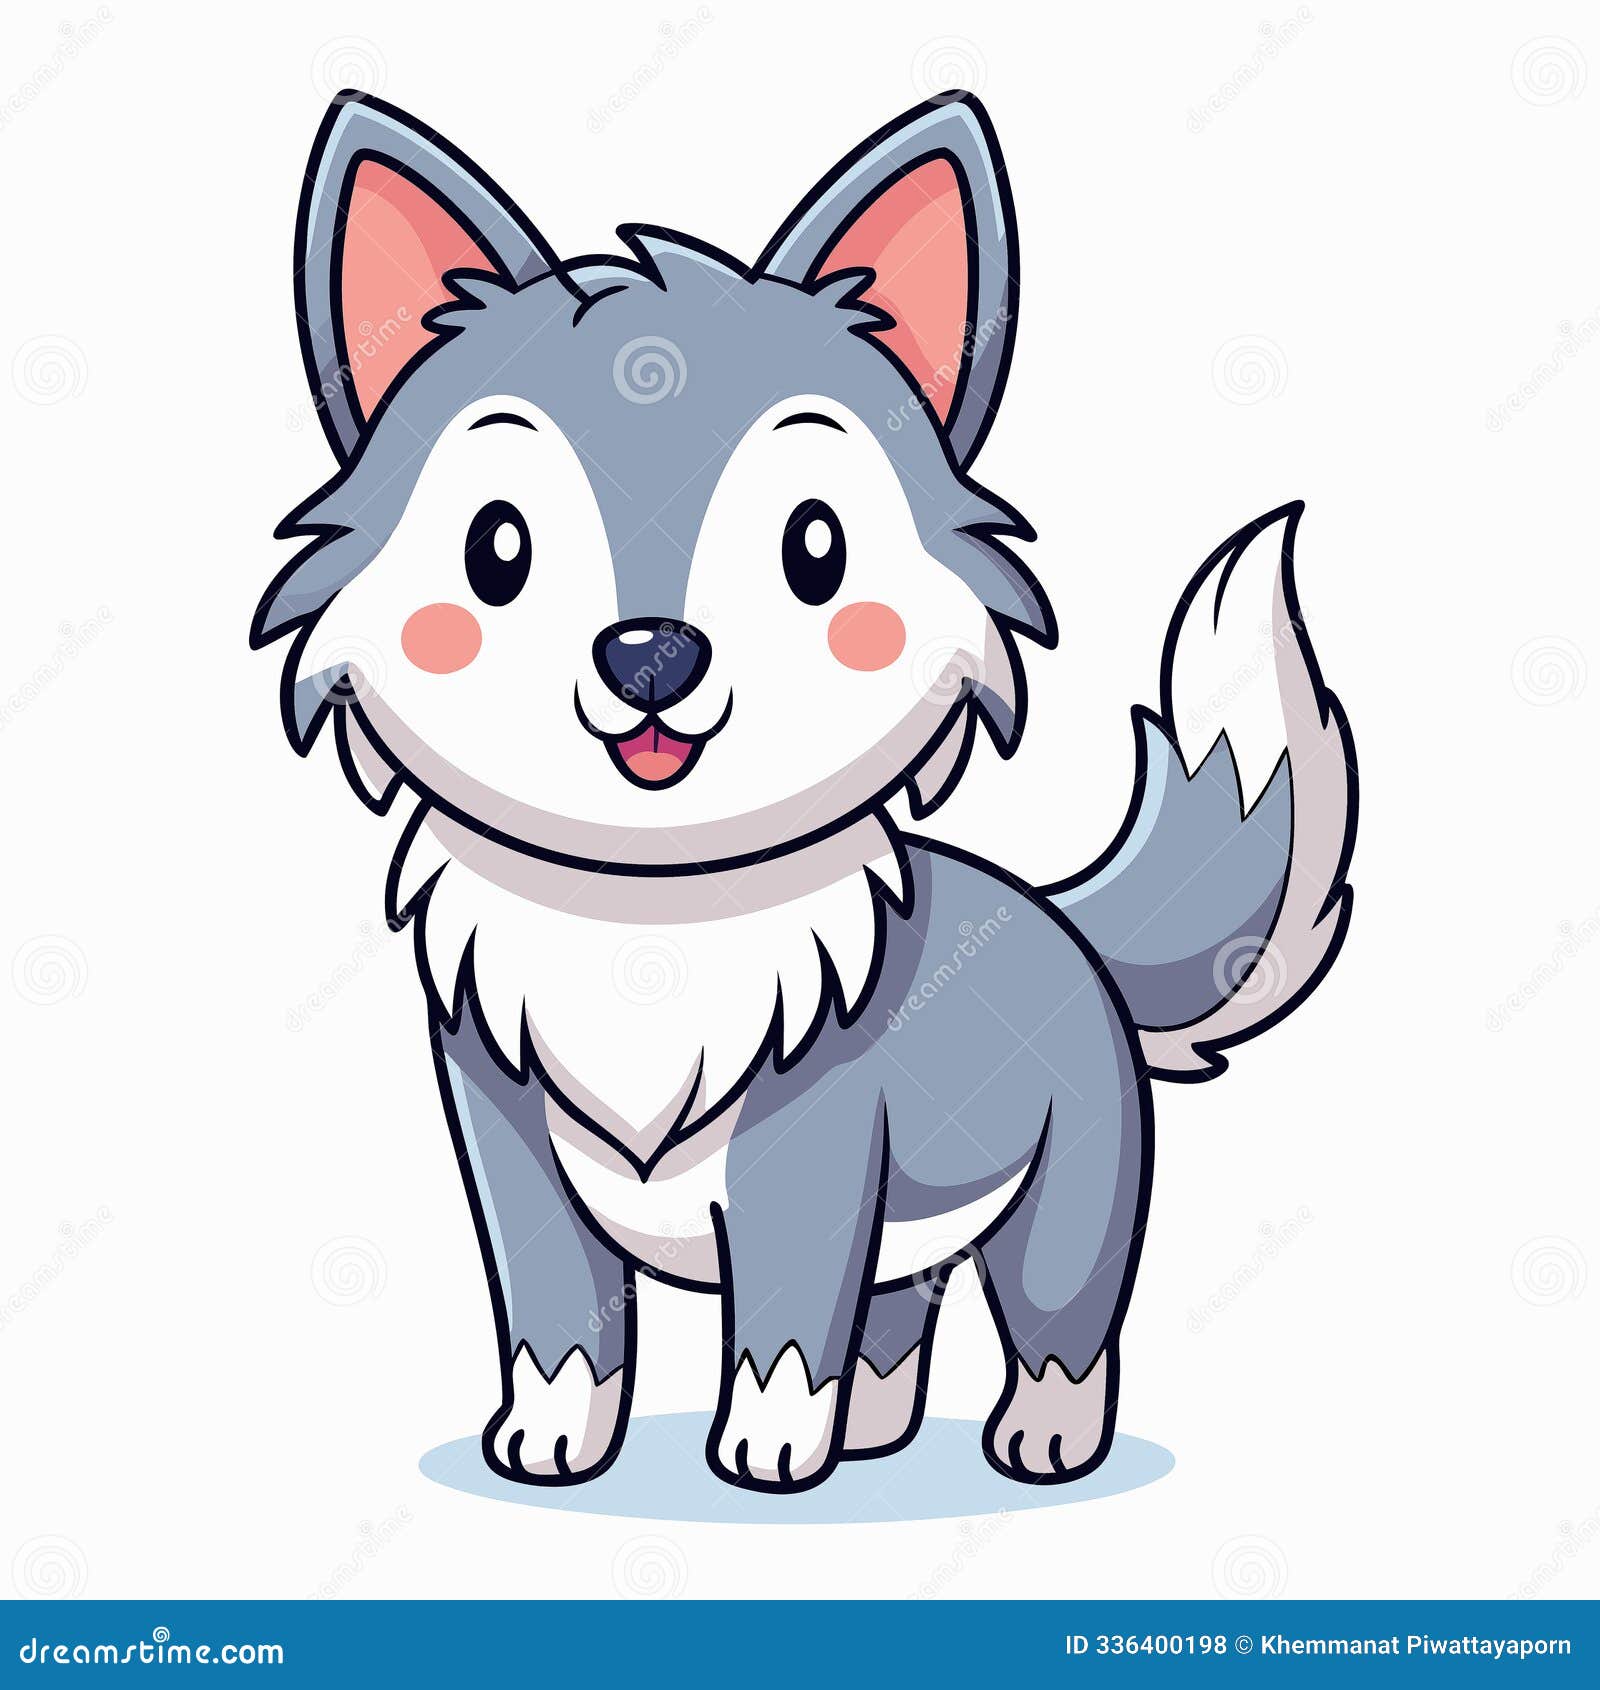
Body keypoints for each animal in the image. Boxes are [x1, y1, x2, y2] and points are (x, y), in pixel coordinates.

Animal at [253, 90, 1356, 1492]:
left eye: (813, 549)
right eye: (496, 550)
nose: (651, 652)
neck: (648, 926)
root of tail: (1059, 916)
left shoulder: (811, 1151)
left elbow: (783, 1324)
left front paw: (770, 1447)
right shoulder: (508, 1147)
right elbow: (562, 1321)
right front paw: (553, 1439)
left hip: (1068, 1194)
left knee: (1060, 1319)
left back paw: (1040, 1437)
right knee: (895, 1319)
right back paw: (876, 1433)